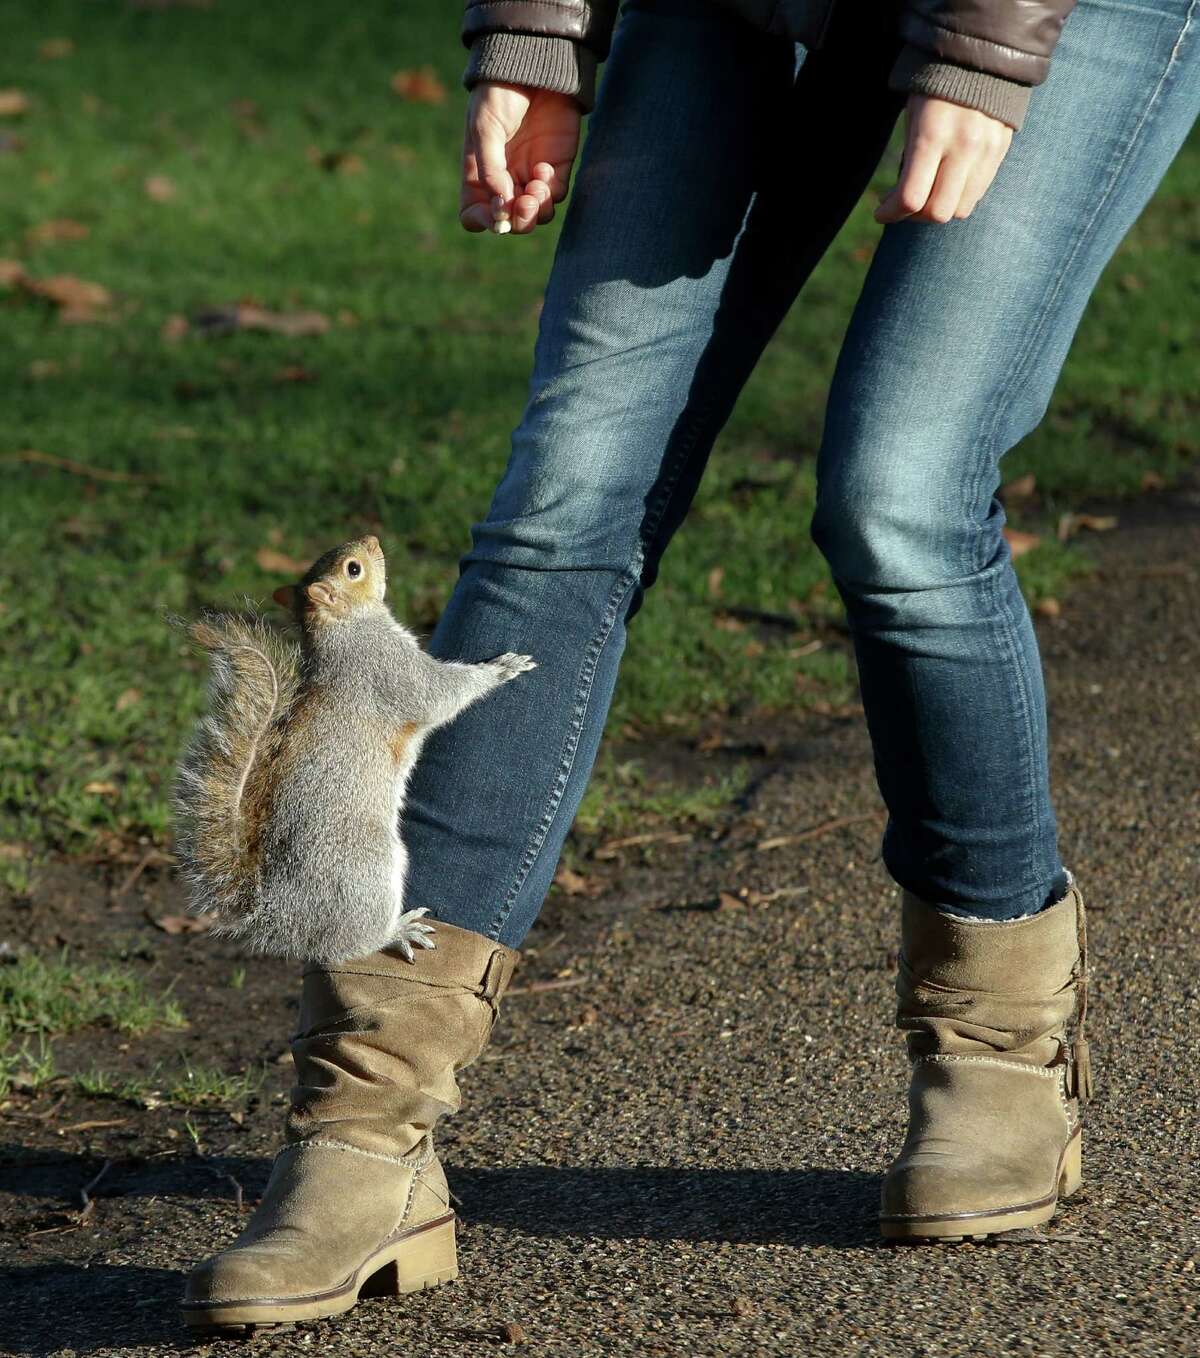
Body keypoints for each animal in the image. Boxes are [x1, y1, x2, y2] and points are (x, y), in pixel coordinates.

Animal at [171, 535, 536, 964]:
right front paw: (499, 669)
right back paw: (396, 932)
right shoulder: (388, 666)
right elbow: (437, 694)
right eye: (353, 569)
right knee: (351, 943)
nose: (373, 540)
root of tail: (280, 916)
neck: (343, 627)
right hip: (368, 871)